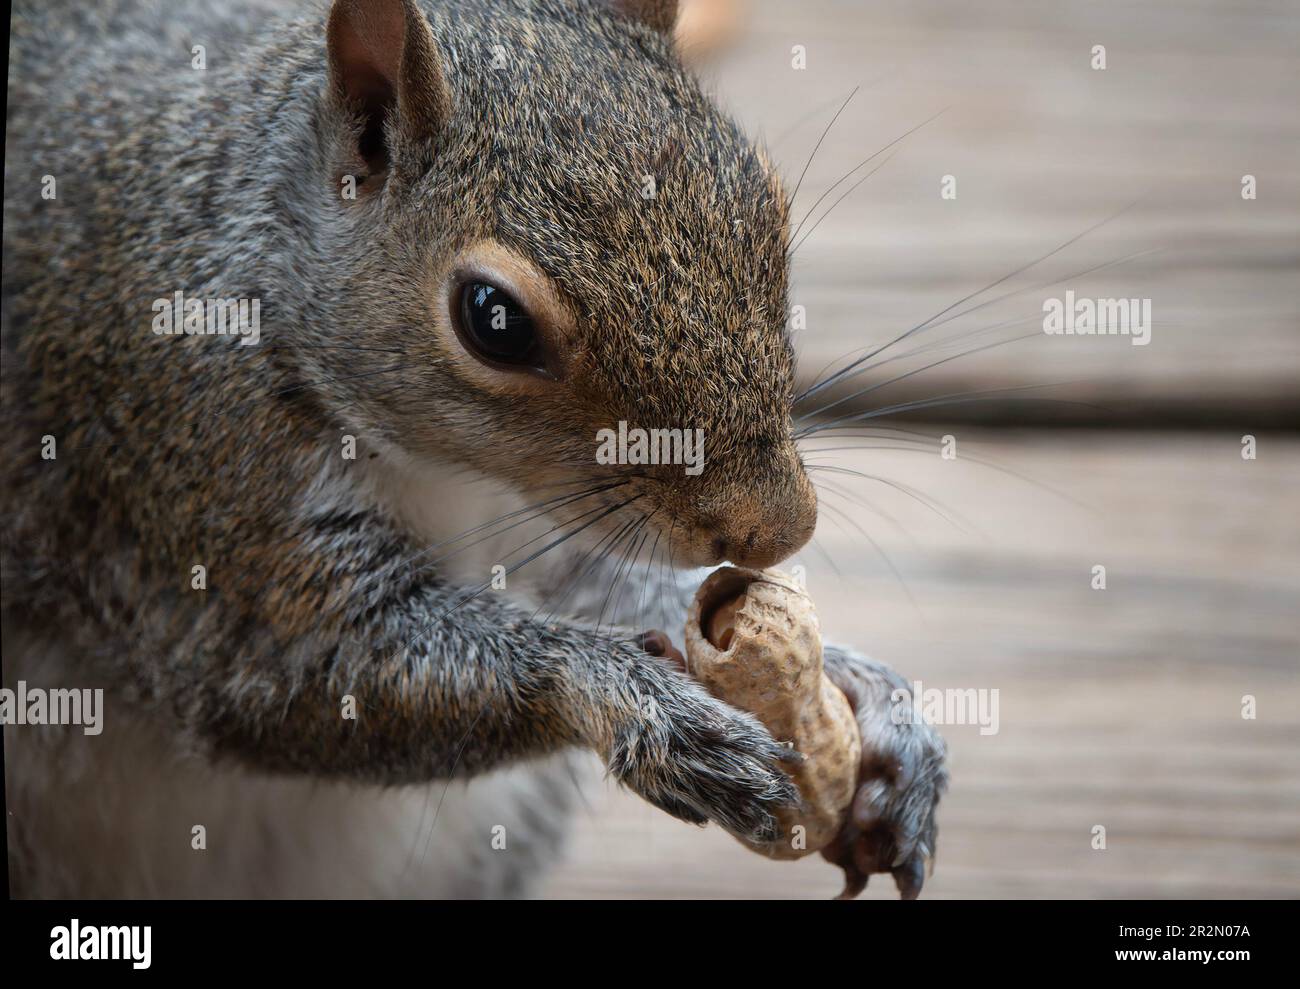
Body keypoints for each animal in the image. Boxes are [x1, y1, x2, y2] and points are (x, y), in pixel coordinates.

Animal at [1, 0, 947, 898]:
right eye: (494, 319)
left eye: (768, 205)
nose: (779, 530)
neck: (447, 471)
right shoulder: (197, 496)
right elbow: (298, 677)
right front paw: (632, 699)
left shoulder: (541, 520)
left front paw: (866, 691)